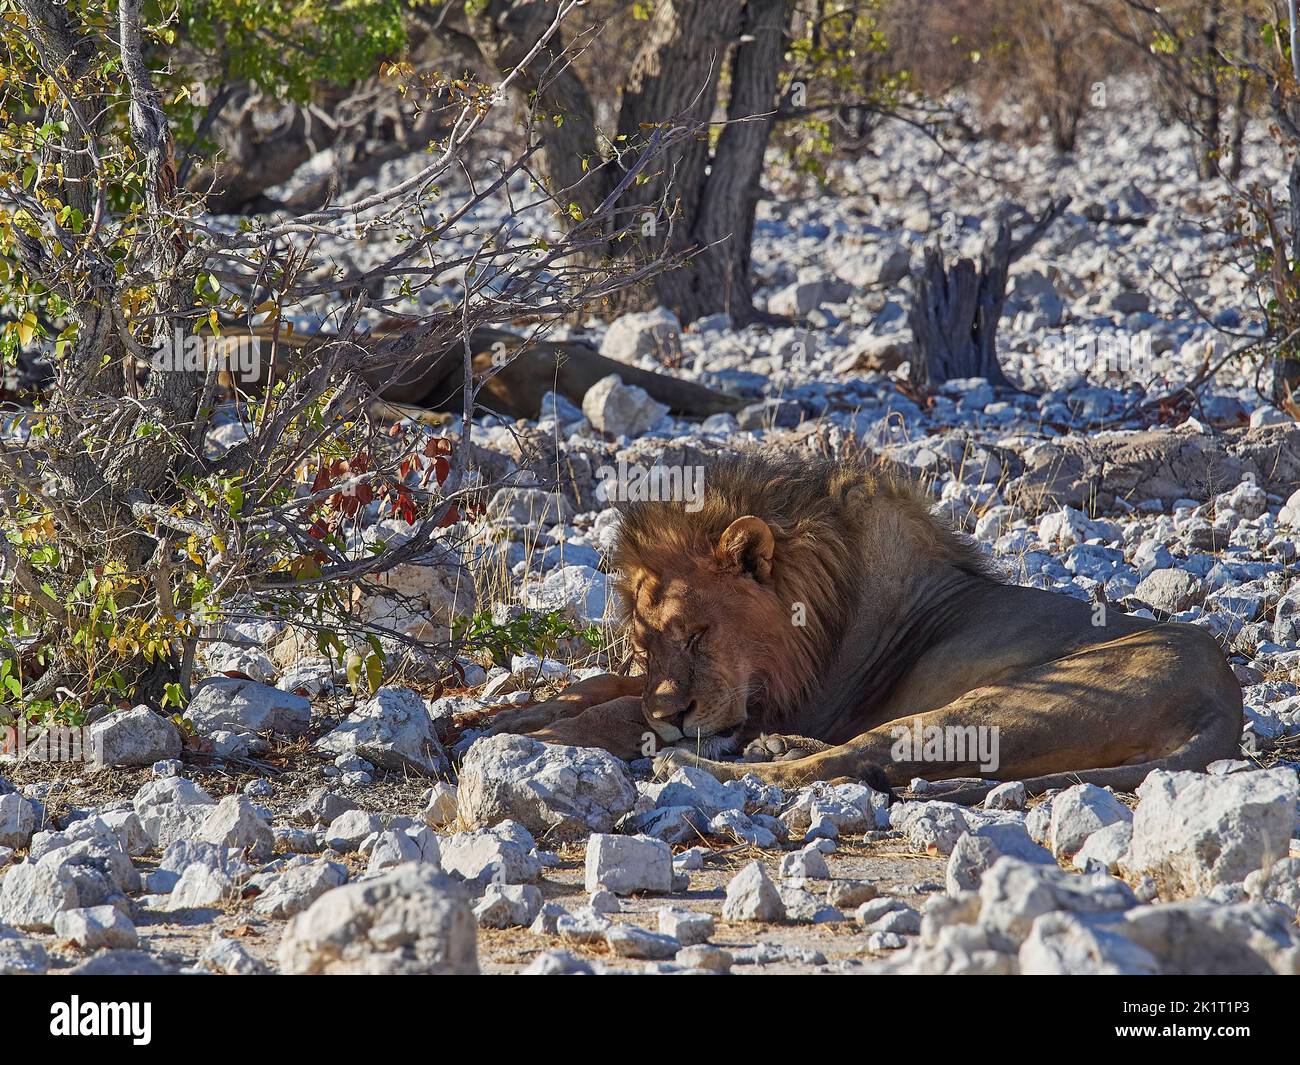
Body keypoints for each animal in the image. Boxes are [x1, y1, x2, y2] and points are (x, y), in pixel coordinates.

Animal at [484, 451, 1243, 802]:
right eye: (647, 642)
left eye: (699, 635)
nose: (673, 717)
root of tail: (1226, 699)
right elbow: (604, 684)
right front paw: (509, 715)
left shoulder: (793, 699)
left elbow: (618, 710)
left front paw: (537, 739)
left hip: (999, 705)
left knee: (840, 763)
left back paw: (694, 762)